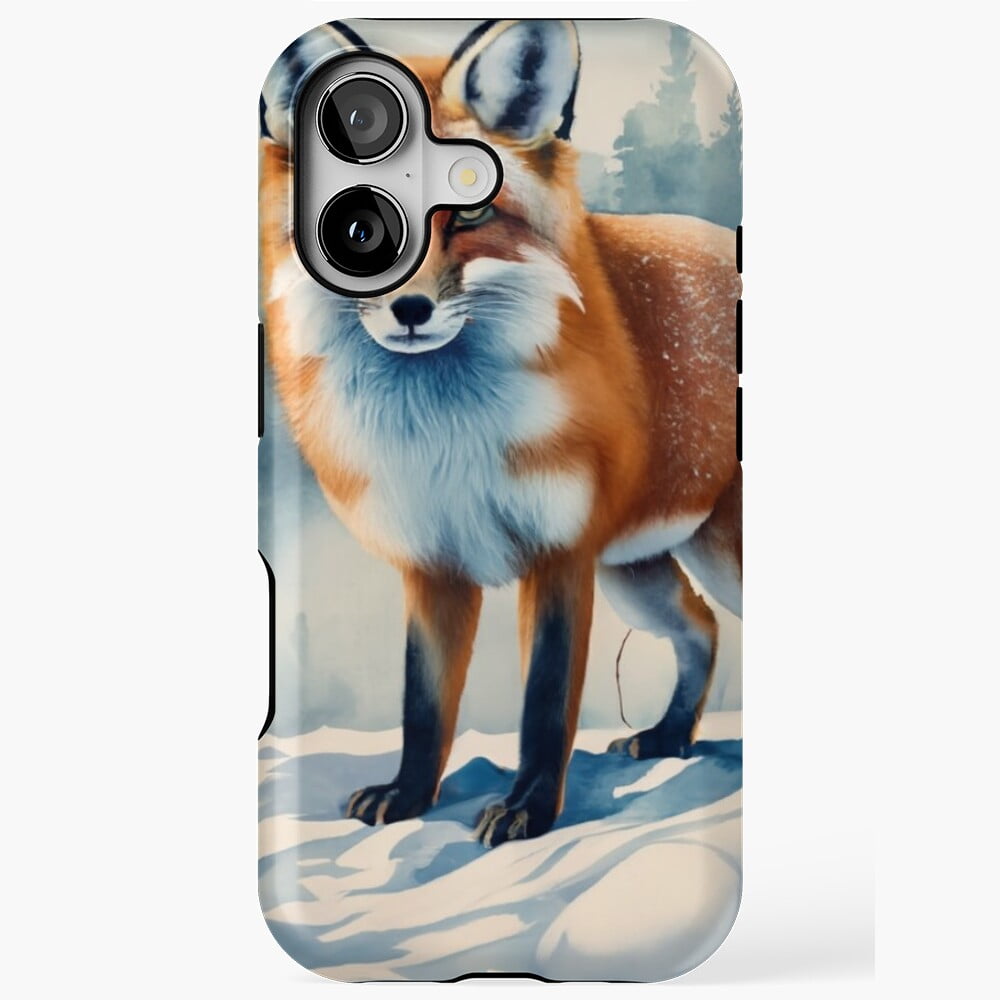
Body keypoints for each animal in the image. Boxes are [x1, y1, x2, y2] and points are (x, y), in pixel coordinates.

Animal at [260, 19, 742, 847]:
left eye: (472, 212)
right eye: (356, 229)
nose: (411, 310)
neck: (444, 437)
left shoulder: (560, 557)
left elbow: (543, 708)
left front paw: (530, 811)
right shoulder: (433, 566)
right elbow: (423, 707)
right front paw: (408, 796)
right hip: (637, 572)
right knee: (701, 629)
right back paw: (672, 737)